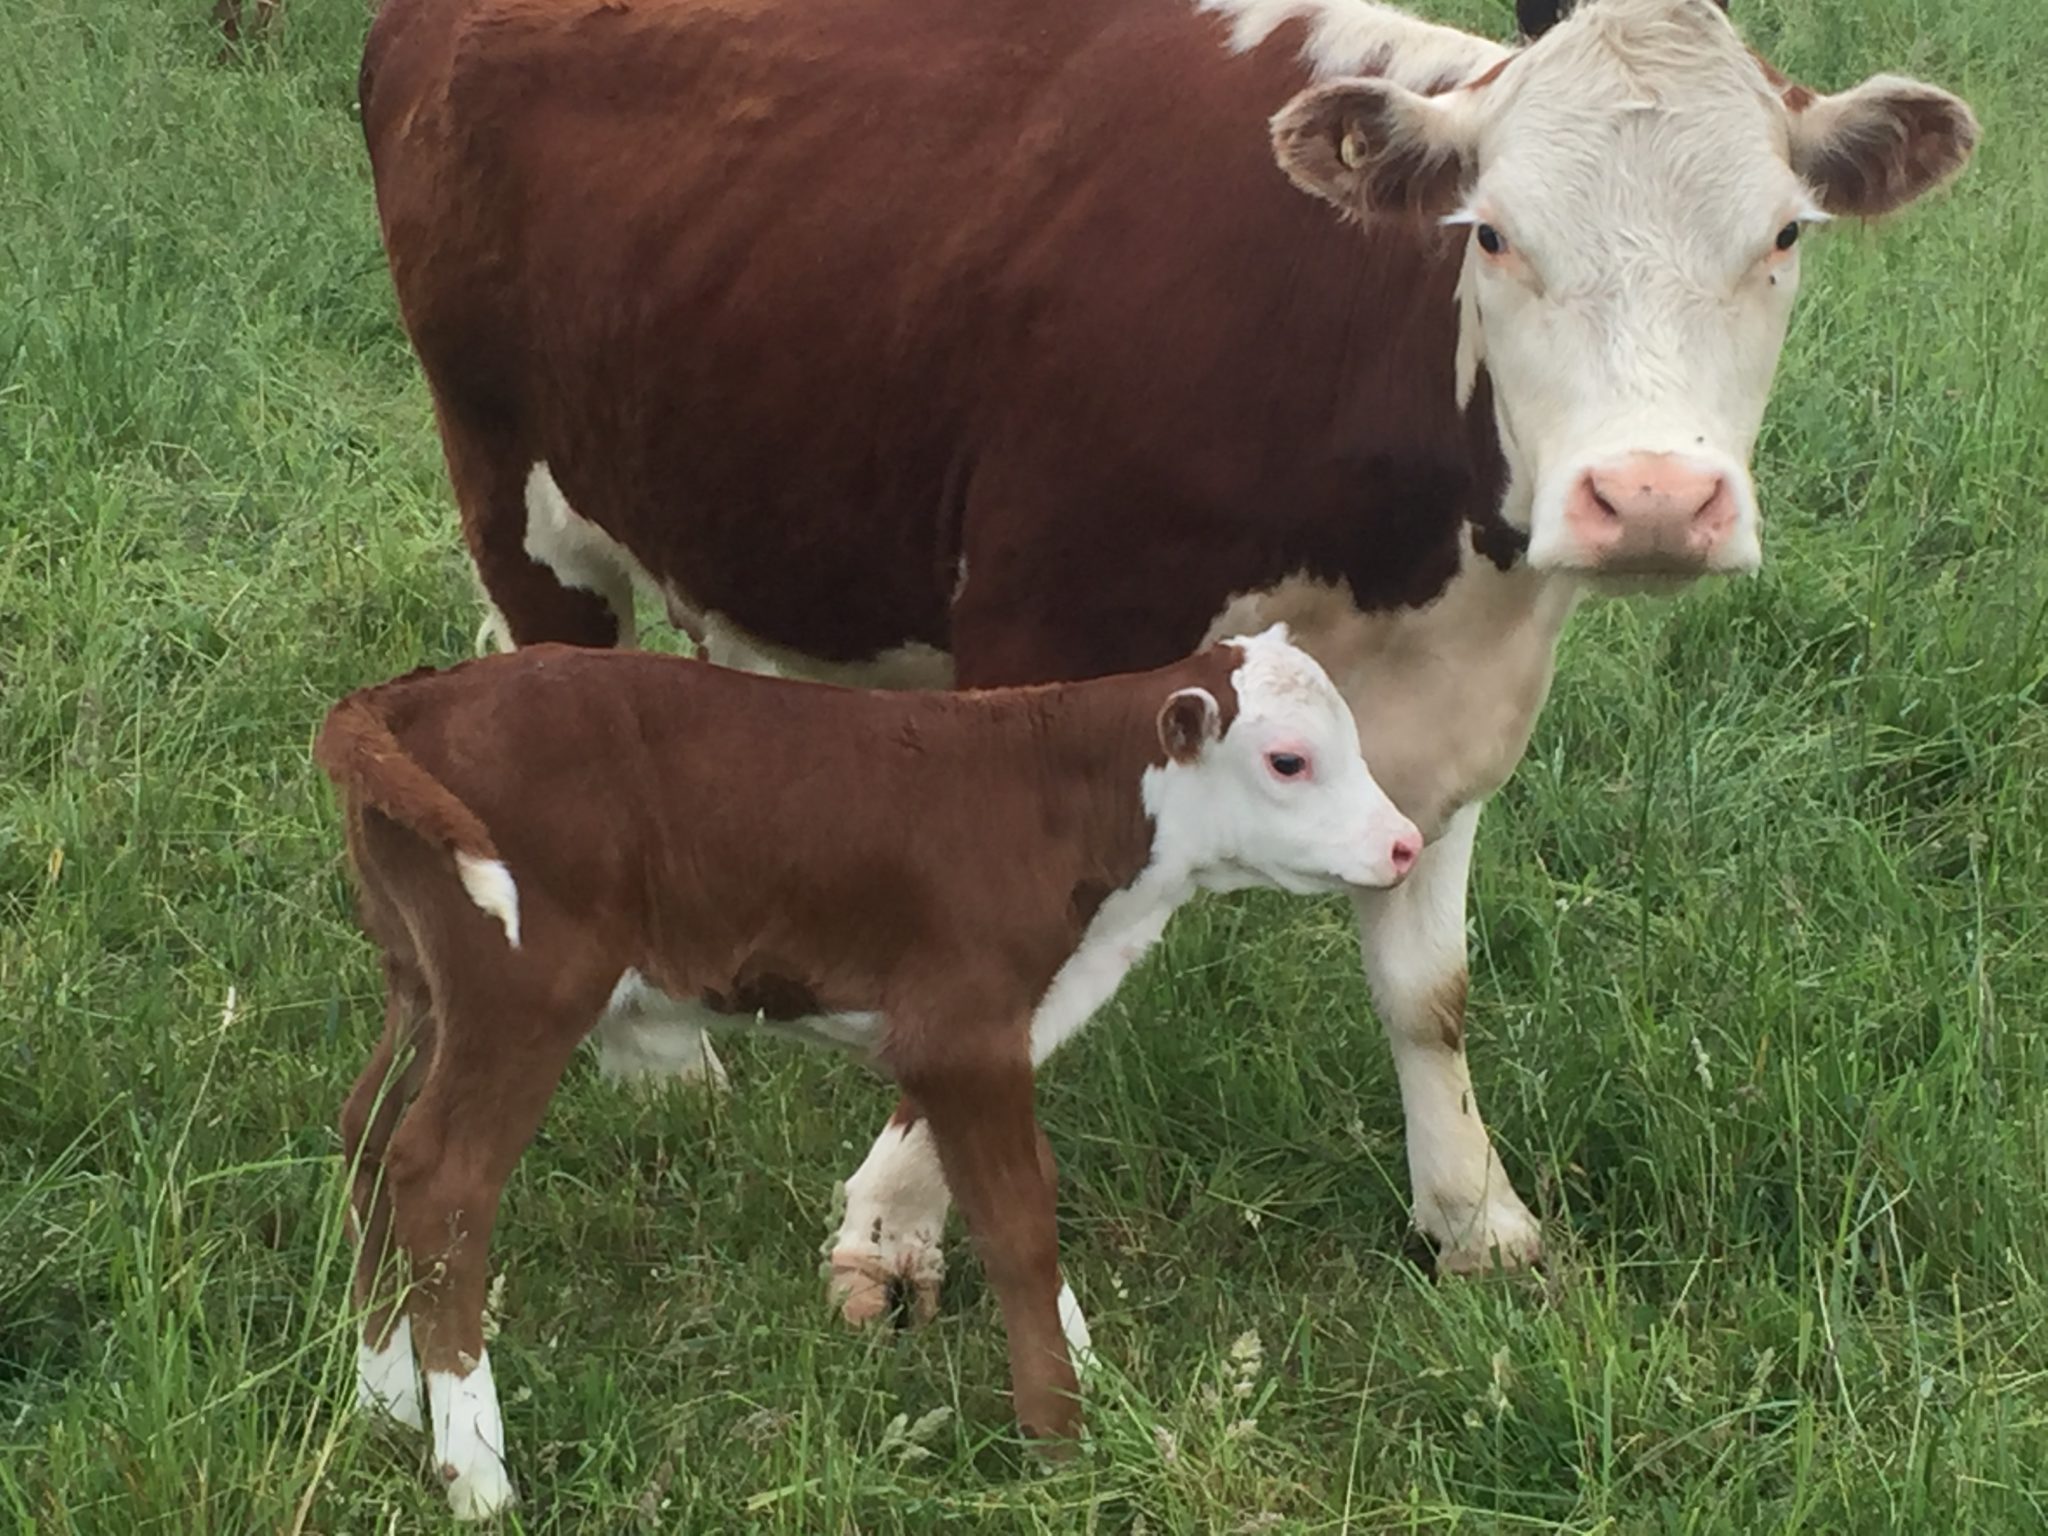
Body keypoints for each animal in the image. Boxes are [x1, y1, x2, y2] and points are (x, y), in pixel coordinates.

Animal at [317, 627, 1420, 1516]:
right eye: (1288, 760)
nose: (1406, 844)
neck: (1064, 804)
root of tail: (411, 698)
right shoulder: (960, 1029)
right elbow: (1017, 1219)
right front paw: (1060, 1441)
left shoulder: (982, 1035)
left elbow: (1022, 1188)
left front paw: (1098, 1389)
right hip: (522, 991)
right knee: (441, 1179)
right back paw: (477, 1475)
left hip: (422, 983)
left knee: (370, 1135)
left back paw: (385, 1405)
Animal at [355, 0, 1977, 1316]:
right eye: (1494, 233)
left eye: (1782, 237)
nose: (1648, 499)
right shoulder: (1033, 640)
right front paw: (890, 1230)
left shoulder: (1447, 707)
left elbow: (1428, 992)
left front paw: (1474, 1219)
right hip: (515, 480)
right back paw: (658, 1062)